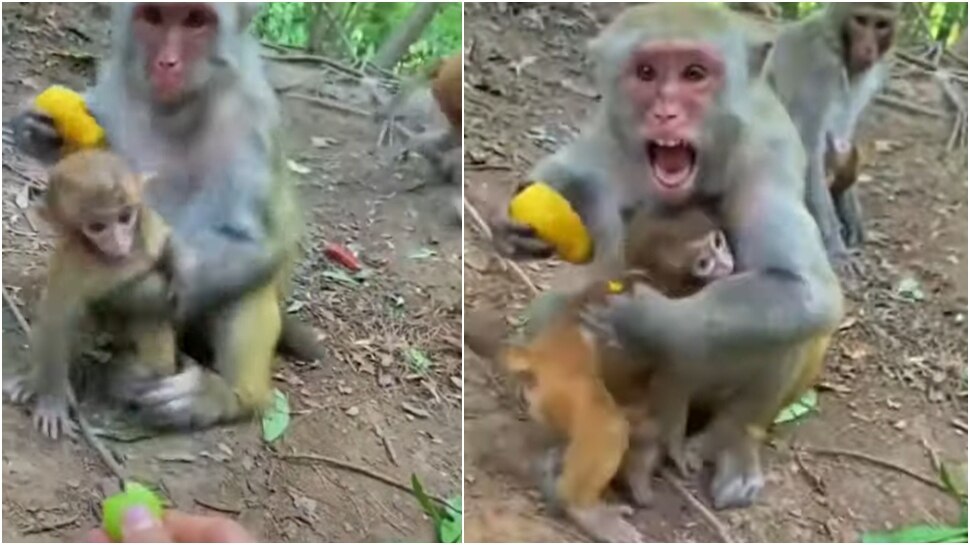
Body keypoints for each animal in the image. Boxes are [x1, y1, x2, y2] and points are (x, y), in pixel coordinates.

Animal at [3, 150, 178, 439]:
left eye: (125, 217)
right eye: (97, 226)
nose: (119, 242)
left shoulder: (155, 229)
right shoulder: (73, 256)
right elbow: (58, 319)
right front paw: (51, 400)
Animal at [489, 3, 843, 510]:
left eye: (695, 74)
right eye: (647, 73)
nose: (665, 112)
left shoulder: (764, 156)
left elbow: (801, 287)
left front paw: (645, 322)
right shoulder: (612, 128)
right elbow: (580, 179)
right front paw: (517, 224)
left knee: (792, 330)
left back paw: (732, 441)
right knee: (554, 312)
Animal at [766, 3, 899, 265]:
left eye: (881, 25)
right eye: (861, 20)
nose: (868, 48)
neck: (837, 43)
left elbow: (843, 137)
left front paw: (850, 211)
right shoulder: (821, 67)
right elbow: (809, 149)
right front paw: (834, 246)